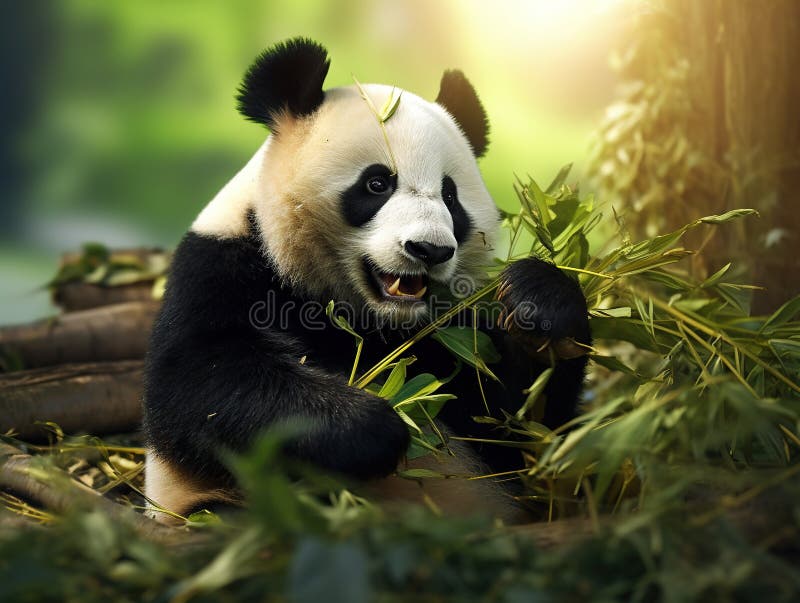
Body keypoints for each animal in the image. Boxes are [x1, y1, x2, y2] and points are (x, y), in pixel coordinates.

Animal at [143, 38, 591, 524]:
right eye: (377, 183)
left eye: (450, 196)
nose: (430, 249)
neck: (368, 318)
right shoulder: (220, 268)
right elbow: (200, 382)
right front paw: (372, 427)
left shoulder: (451, 336)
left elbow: (523, 425)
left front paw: (540, 303)